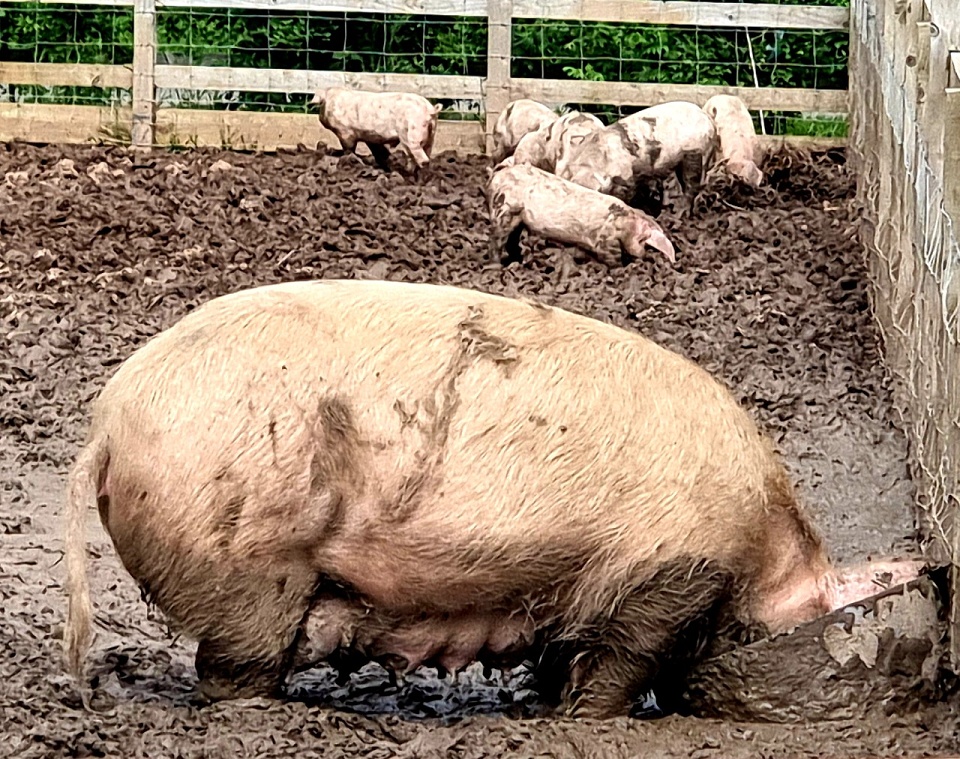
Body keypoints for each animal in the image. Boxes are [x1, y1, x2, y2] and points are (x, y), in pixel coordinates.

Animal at [63, 279, 926, 719]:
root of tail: (104, 425)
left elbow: (566, 651)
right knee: (232, 670)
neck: (761, 545)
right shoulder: (667, 567)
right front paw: (589, 721)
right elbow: (620, 658)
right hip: (249, 557)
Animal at [309, 87, 443, 171]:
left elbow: (349, 150)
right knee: (426, 154)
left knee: (422, 159)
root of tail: (430, 110)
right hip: (431, 136)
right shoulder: (371, 137)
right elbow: (379, 153)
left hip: (412, 135)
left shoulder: (345, 133)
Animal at [487, 161, 676, 267]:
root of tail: (498, 173)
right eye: (644, 239)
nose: (644, 255)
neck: (625, 223)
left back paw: (517, 262)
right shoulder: (605, 240)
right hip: (503, 209)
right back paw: (496, 265)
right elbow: (612, 258)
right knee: (497, 238)